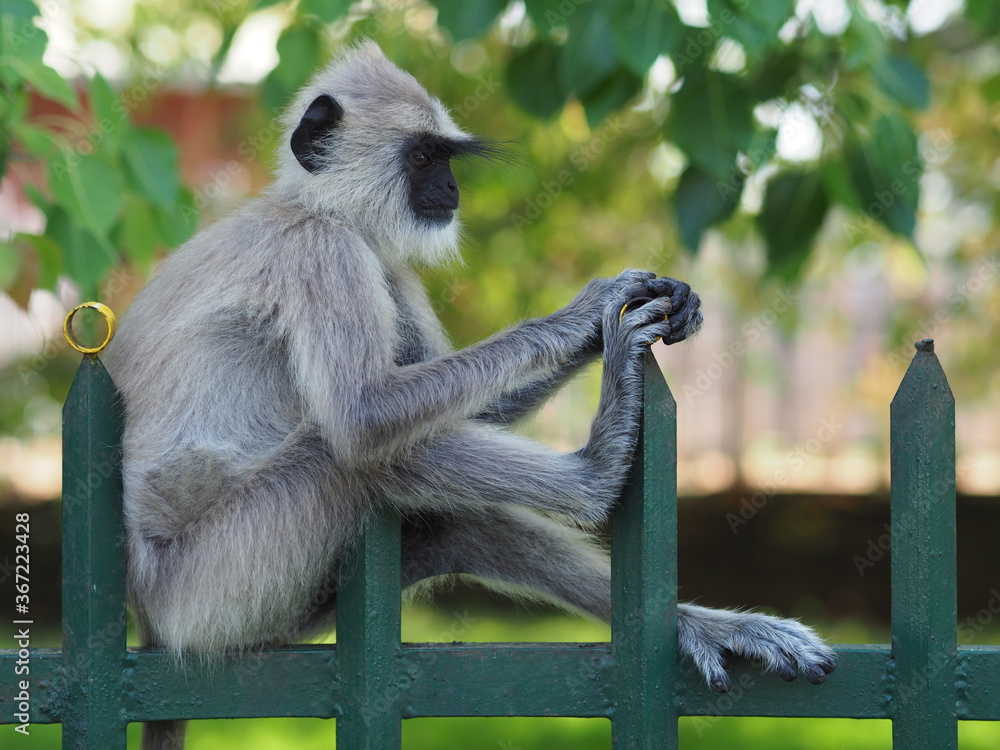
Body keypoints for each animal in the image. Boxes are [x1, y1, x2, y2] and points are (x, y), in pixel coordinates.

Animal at [102, 40, 835, 749]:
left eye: (448, 159)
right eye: (424, 157)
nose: (451, 188)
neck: (315, 205)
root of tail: (149, 614)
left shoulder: (382, 263)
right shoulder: (324, 250)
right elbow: (366, 416)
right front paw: (583, 313)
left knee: (455, 519)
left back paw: (700, 624)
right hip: (213, 589)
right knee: (349, 457)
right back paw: (595, 473)